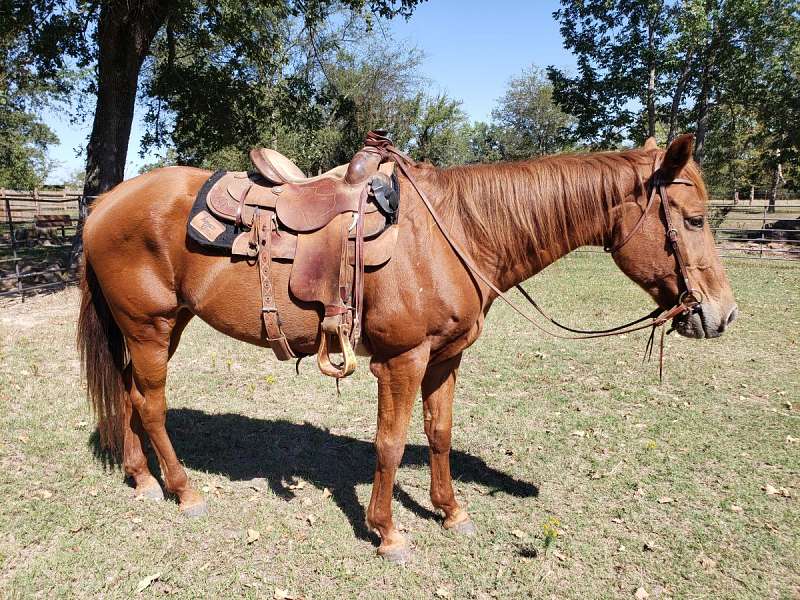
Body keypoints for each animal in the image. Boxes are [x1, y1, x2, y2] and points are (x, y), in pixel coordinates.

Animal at [77, 133, 737, 563]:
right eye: (694, 219)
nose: (722, 314)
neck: (460, 231)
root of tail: (104, 205)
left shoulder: (445, 358)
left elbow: (439, 433)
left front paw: (452, 511)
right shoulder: (402, 361)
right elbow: (391, 444)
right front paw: (388, 532)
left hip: (161, 328)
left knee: (129, 398)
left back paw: (141, 478)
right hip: (150, 327)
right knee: (151, 405)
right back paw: (184, 492)